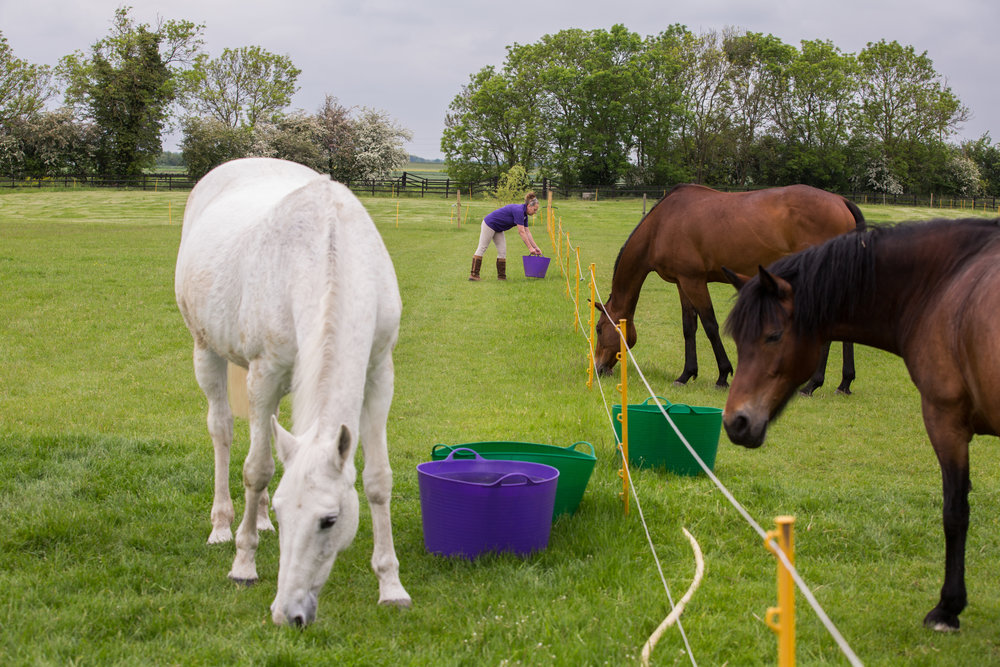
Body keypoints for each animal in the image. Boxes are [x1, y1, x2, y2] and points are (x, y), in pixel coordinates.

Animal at [175, 157, 411, 626]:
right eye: (289, 516)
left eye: (329, 520)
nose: (289, 613)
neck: (328, 252)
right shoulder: (264, 375)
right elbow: (257, 469)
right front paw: (244, 565)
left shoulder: (379, 373)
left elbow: (378, 479)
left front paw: (391, 585)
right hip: (206, 351)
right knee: (223, 431)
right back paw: (223, 526)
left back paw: (258, 521)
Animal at [593, 183, 864, 393]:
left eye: (599, 329)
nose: (598, 368)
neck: (661, 225)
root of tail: (841, 201)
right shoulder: (682, 282)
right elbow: (689, 327)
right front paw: (686, 374)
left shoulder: (694, 281)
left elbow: (710, 325)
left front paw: (722, 376)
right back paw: (843, 383)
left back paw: (812, 385)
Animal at [722, 217, 1000, 631]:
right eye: (738, 340)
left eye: (773, 335)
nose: (735, 423)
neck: (941, 285)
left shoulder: (945, 420)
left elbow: (954, 512)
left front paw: (947, 608)